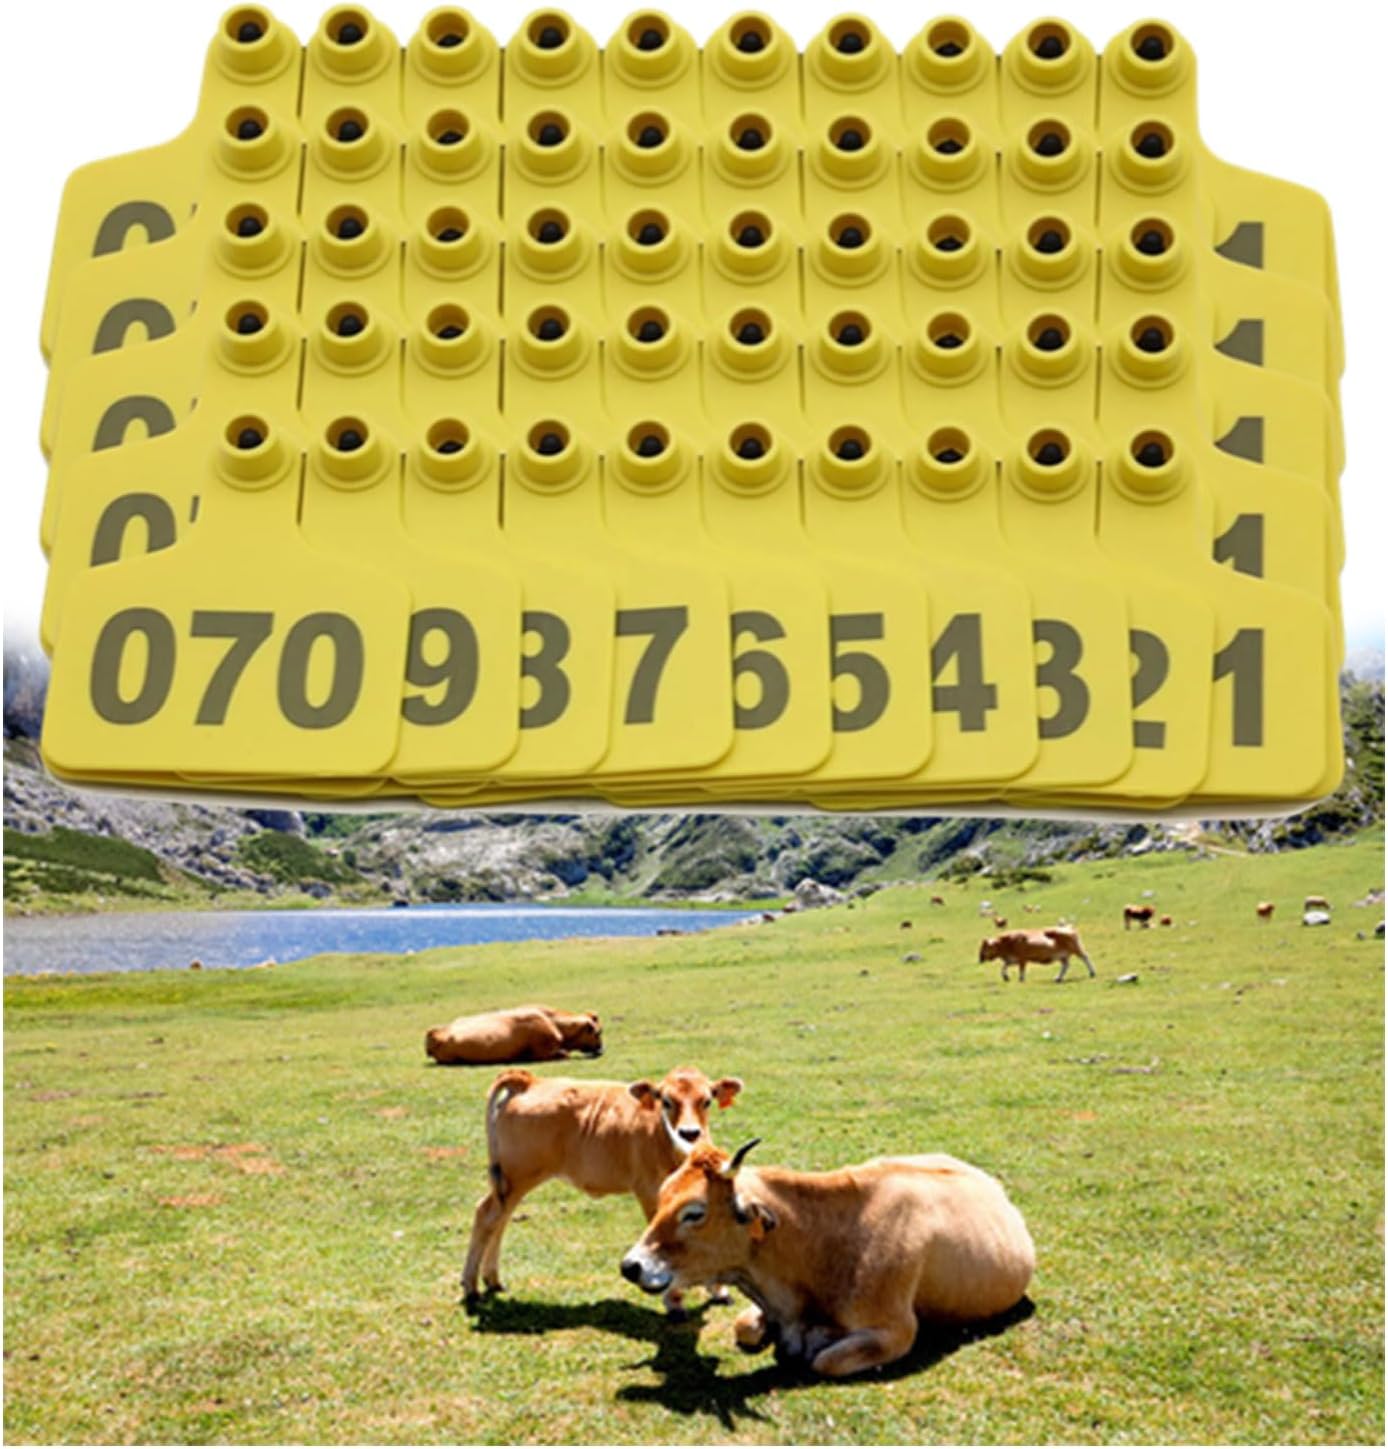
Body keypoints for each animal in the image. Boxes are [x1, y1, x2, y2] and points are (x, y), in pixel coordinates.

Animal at [462, 1066, 743, 1312]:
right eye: (666, 1101)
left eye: (706, 1100)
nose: (689, 1133)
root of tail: (528, 1080)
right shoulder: (650, 1193)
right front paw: (673, 1300)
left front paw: (719, 1291)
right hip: (518, 1175)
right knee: (487, 1214)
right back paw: (471, 1286)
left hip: (509, 1182)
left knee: (500, 1218)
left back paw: (492, 1279)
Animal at [620, 1140, 1034, 1378]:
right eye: (662, 1193)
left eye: (694, 1212)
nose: (631, 1265)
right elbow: (745, 1327)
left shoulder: (896, 1330)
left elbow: (823, 1361)